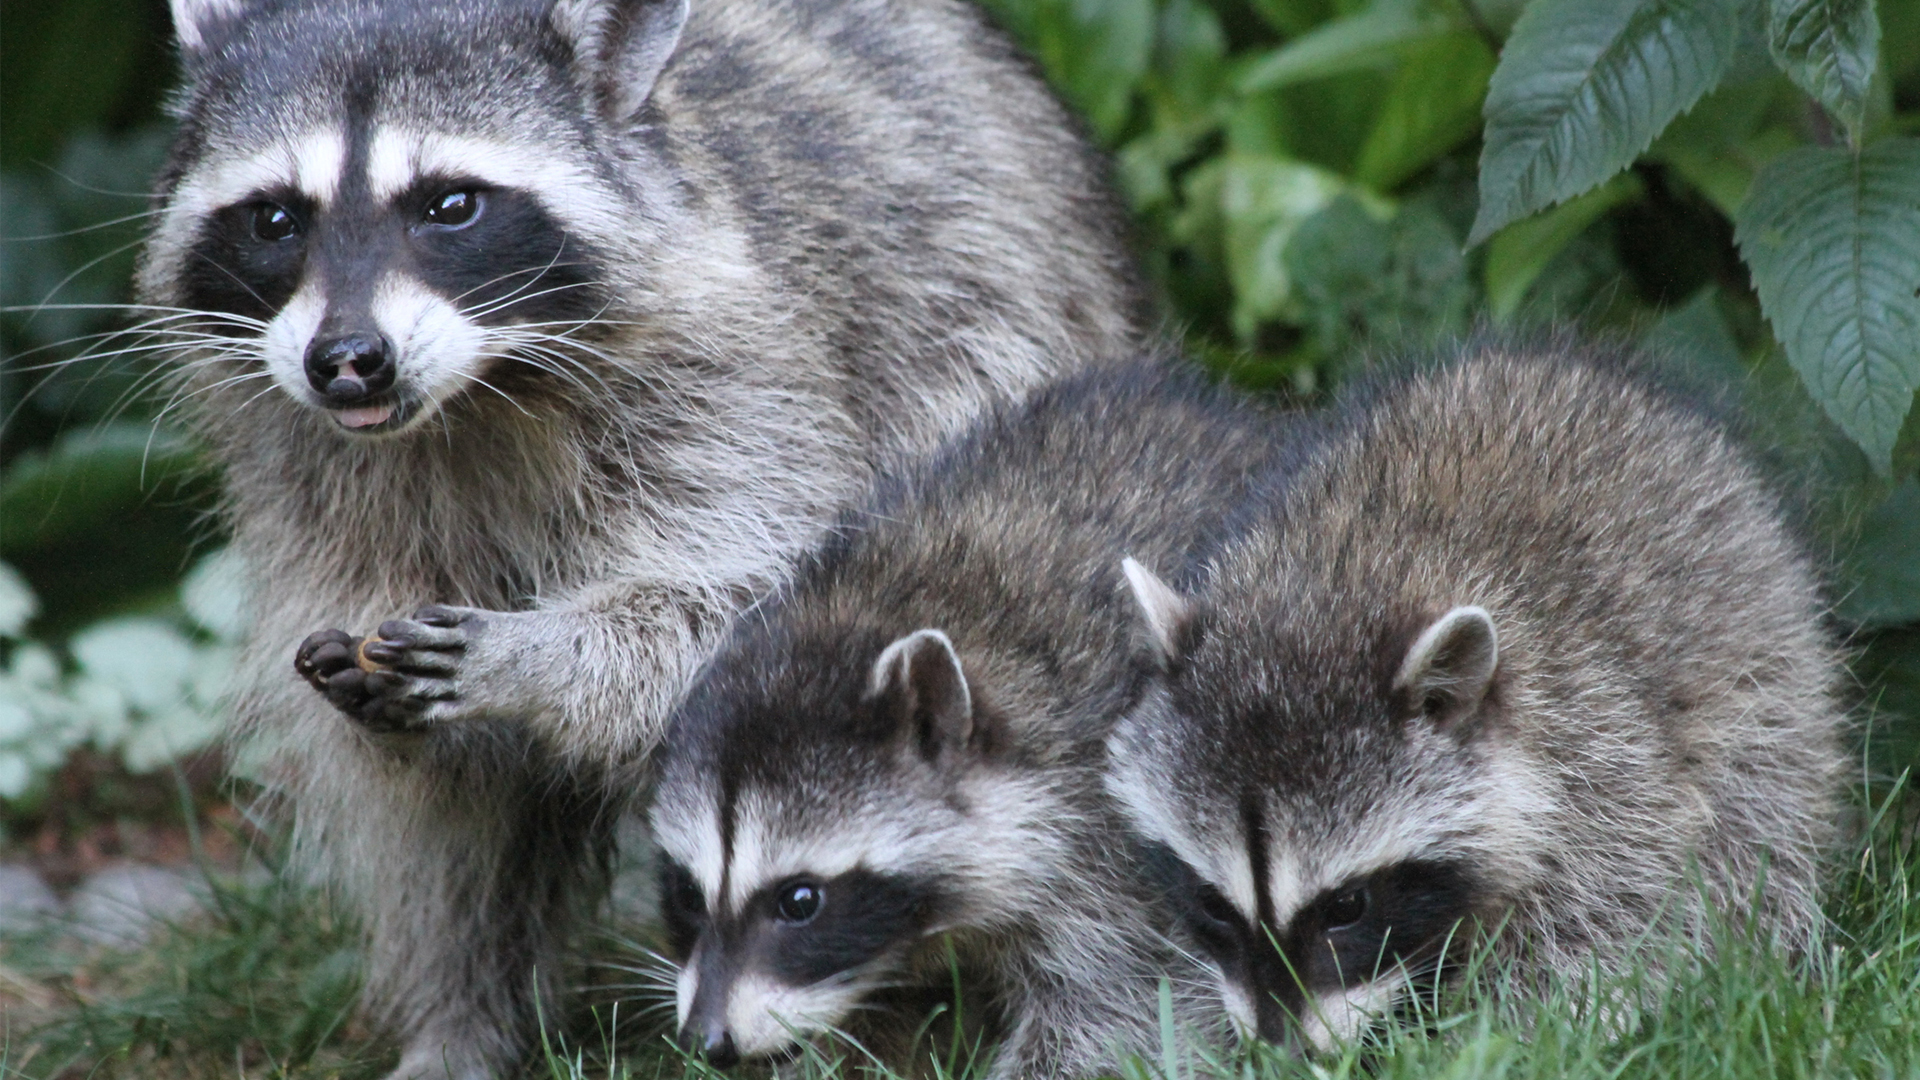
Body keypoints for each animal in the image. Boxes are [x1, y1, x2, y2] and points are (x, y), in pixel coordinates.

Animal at [136, 1, 1145, 1075]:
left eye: (450, 205)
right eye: (276, 217)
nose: (348, 361)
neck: (472, 396)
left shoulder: (741, 381)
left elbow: (733, 618)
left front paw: (536, 656)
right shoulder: (316, 479)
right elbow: (436, 784)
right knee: (456, 843)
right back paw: (465, 1013)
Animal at [648, 361, 1304, 1077]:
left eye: (800, 900)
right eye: (686, 893)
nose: (707, 1042)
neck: (874, 608)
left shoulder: (1119, 851)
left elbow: (1126, 1008)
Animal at [1108, 343, 1845, 1051]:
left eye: (1347, 906)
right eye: (1212, 901)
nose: (1282, 1056)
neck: (1327, 591)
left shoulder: (1600, 742)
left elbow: (1614, 913)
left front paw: (1505, 1031)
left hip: (1766, 666)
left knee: (1755, 817)